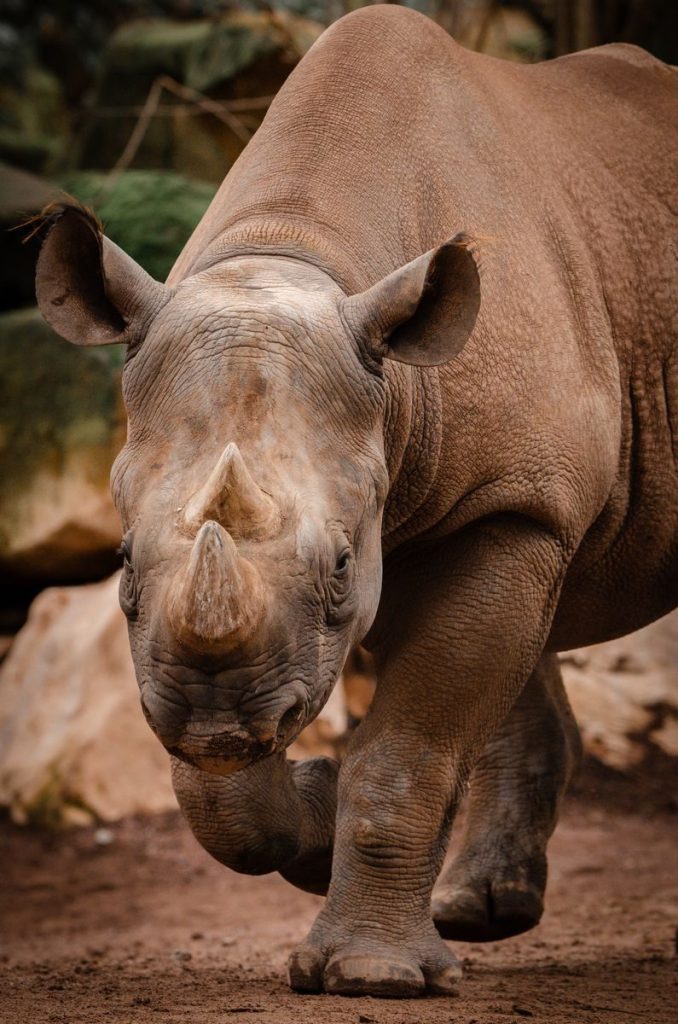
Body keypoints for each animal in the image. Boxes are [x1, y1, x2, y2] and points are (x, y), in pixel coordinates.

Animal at [35, 4, 676, 1000]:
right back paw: (481, 913)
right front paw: (314, 807)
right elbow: (216, 785)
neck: (301, 252)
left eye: (340, 566)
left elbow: (409, 748)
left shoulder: (510, 504)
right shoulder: (466, 507)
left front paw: (374, 974)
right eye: (122, 563)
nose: (215, 719)